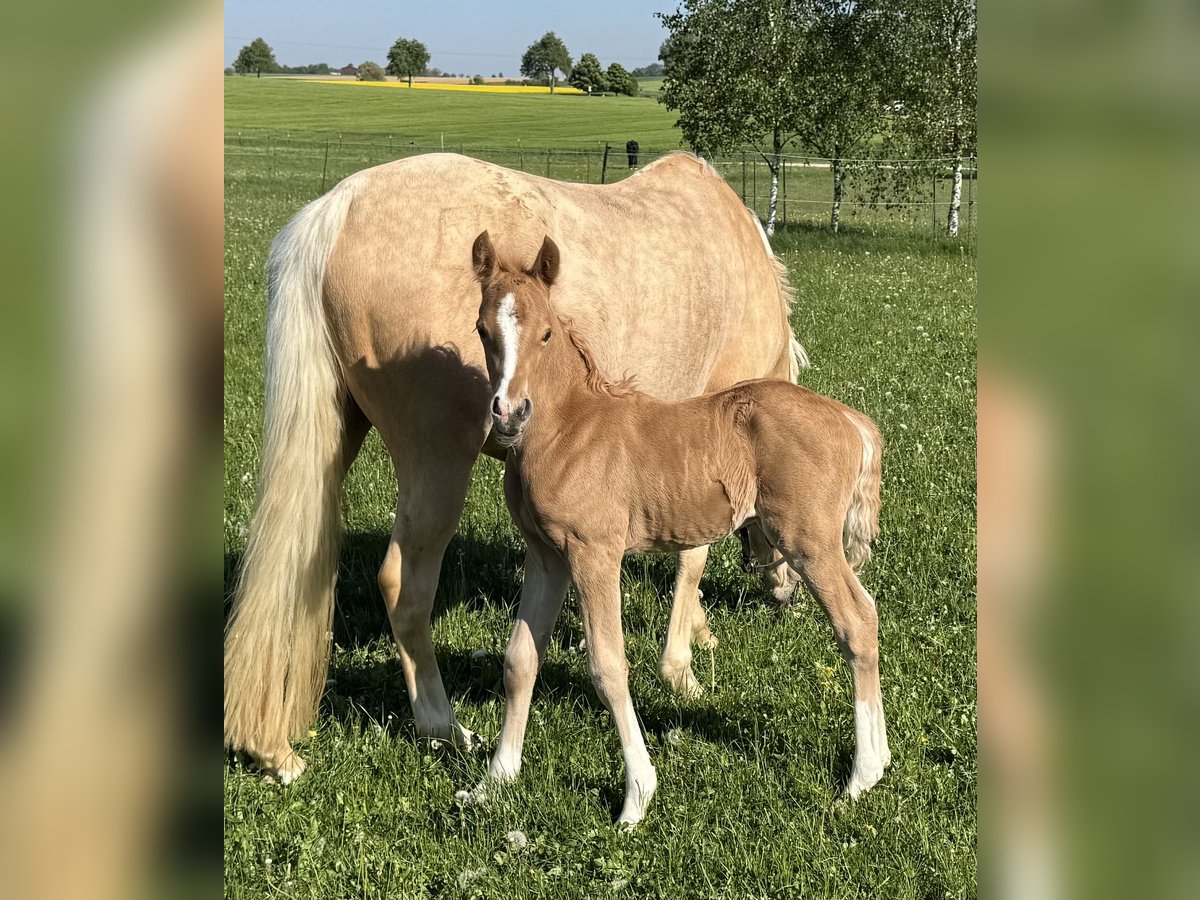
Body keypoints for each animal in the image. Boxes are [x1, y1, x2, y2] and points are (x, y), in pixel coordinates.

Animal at [223, 152, 809, 783]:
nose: (789, 592)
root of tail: (337, 208)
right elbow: (692, 558)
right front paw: (681, 668)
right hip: (437, 466)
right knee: (403, 586)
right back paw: (444, 726)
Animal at [458, 232, 889, 826]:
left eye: (545, 332)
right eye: (482, 329)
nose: (509, 413)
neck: (570, 429)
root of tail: (850, 421)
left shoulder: (594, 554)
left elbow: (608, 666)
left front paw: (637, 797)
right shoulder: (546, 556)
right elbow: (521, 659)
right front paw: (495, 781)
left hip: (809, 542)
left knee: (857, 622)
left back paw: (861, 775)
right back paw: (878, 762)